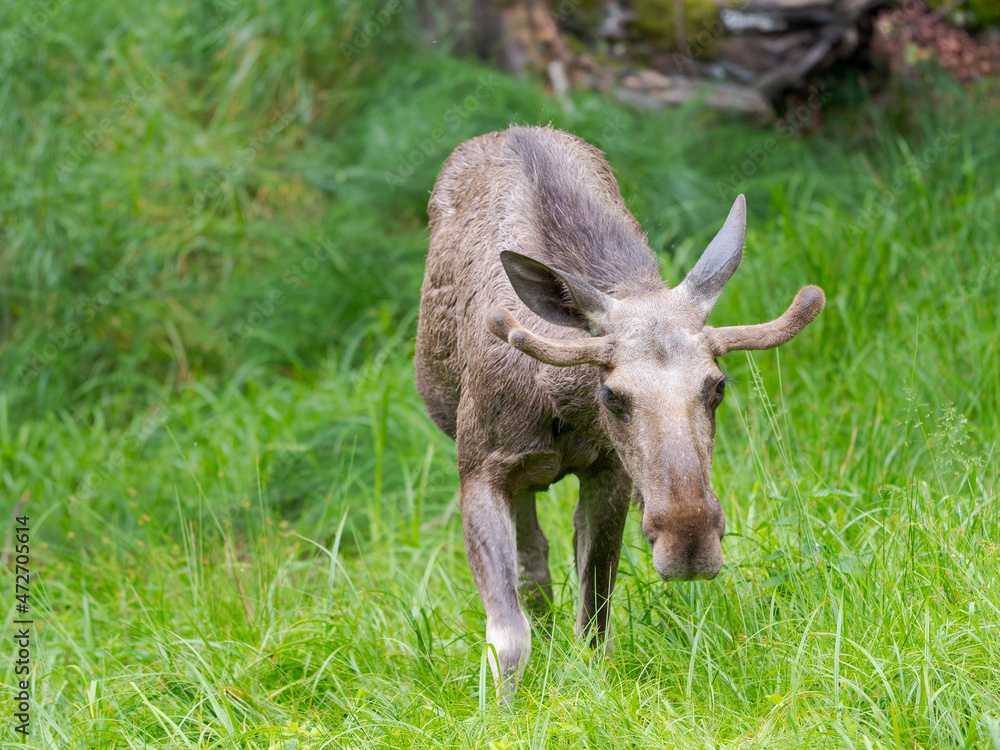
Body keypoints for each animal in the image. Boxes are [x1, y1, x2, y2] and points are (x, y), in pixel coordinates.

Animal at [414, 125, 825, 702]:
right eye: (611, 394)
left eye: (718, 386)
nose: (689, 541)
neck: (560, 403)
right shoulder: (480, 469)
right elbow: (508, 633)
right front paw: (501, 708)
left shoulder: (610, 472)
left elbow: (595, 613)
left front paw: (591, 685)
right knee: (532, 559)